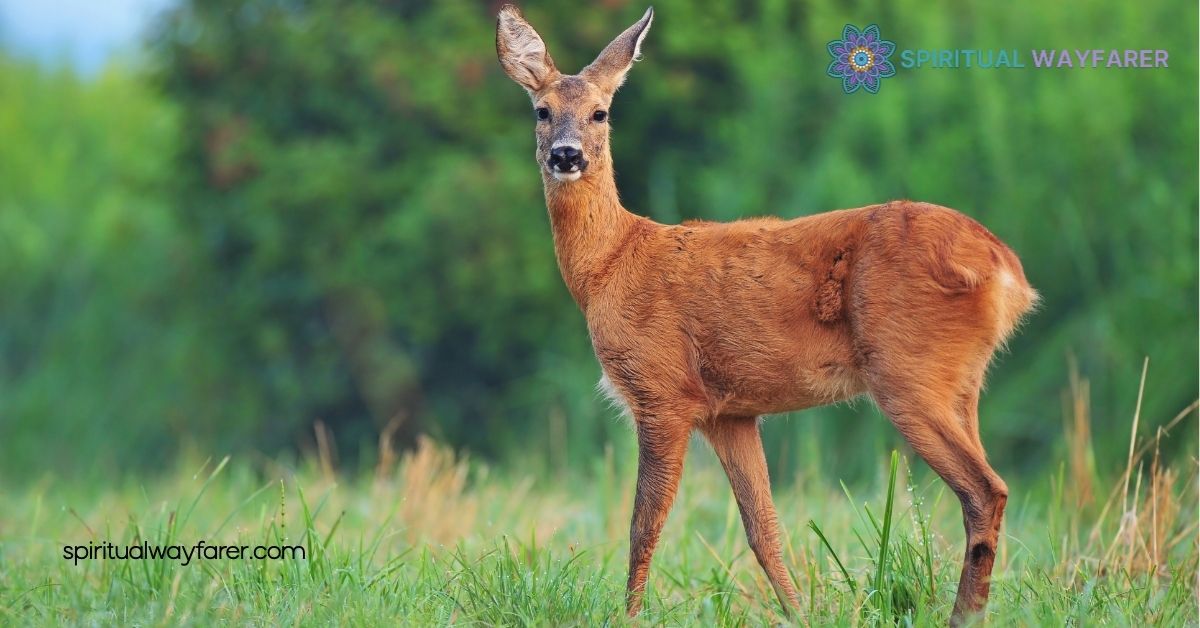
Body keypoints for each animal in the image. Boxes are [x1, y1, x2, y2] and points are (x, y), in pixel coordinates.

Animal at [496, 5, 1037, 624]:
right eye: (541, 110)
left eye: (600, 112)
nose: (566, 155)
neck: (610, 264)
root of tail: (1005, 269)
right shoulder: (729, 412)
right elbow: (764, 528)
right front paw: (800, 612)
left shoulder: (662, 390)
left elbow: (643, 525)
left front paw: (628, 615)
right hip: (962, 380)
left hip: (906, 368)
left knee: (985, 489)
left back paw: (963, 613)